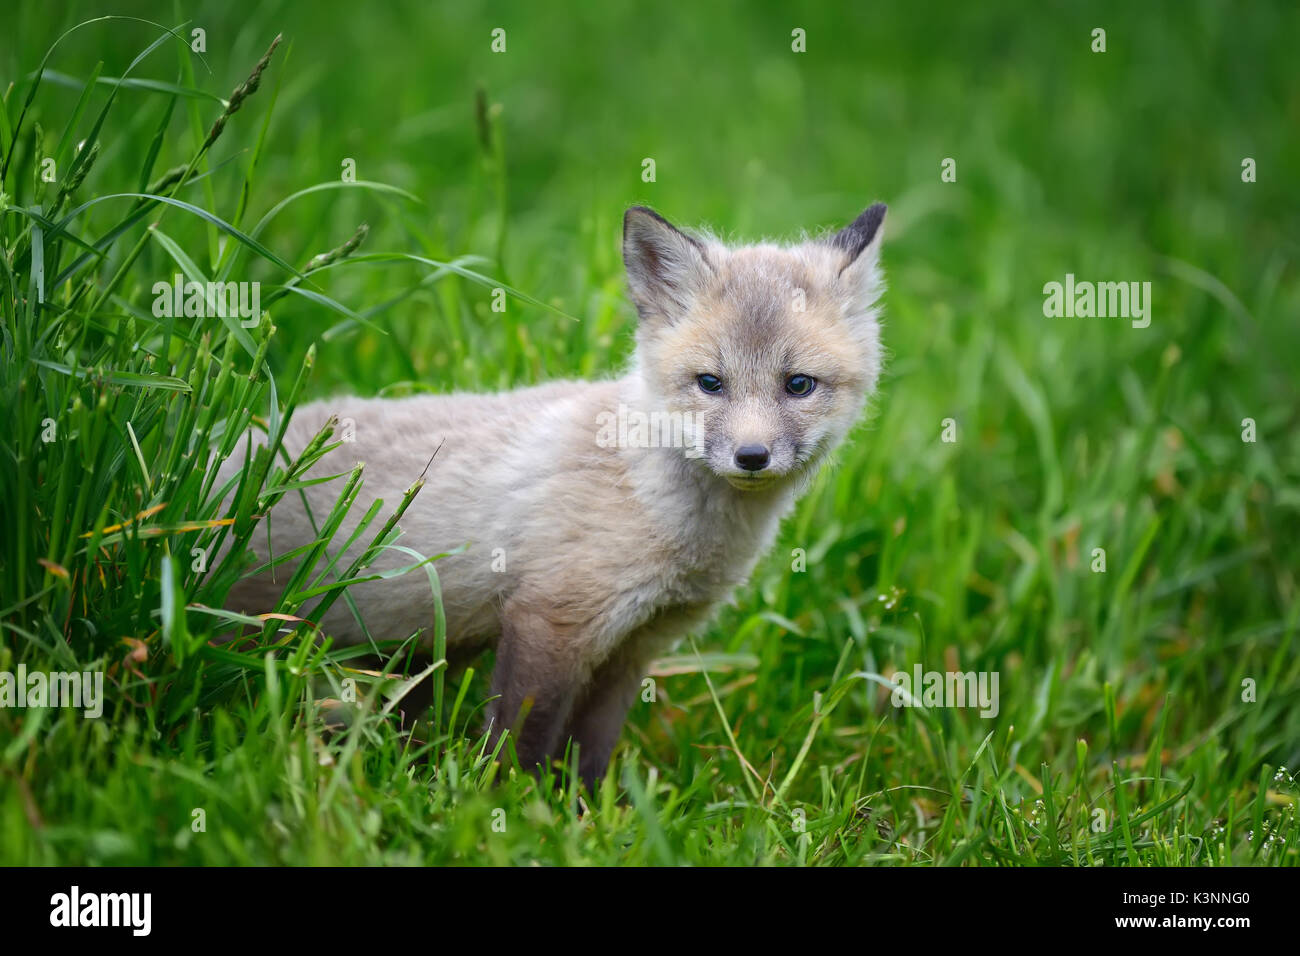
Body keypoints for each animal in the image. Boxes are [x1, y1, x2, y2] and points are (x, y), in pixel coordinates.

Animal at [220, 201, 888, 786]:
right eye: (710, 383)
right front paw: (505, 805)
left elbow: (591, 747)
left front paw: (589, 811)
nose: (751, 456)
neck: (650, 501)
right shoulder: (552, 618)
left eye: (798, 385)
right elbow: (520, 739)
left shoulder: (635, 645)